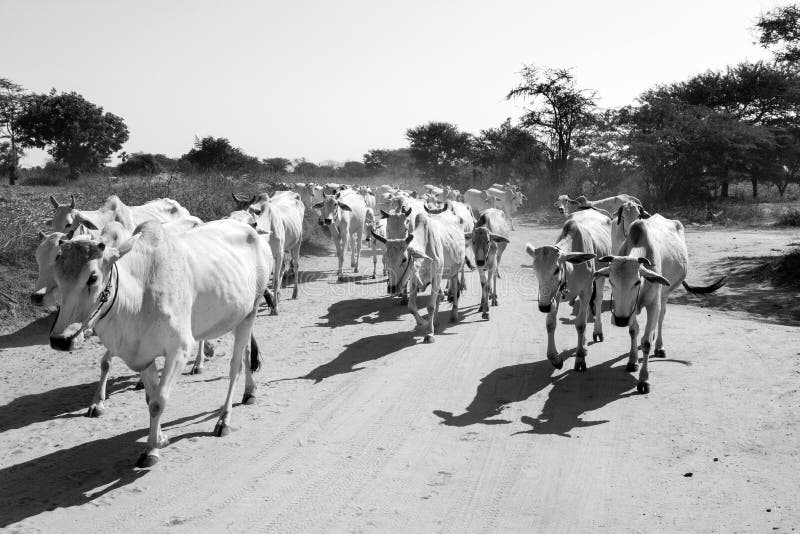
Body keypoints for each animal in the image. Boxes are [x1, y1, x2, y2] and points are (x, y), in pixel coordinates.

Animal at [49, 219, 271, 467]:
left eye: (93, 278)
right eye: (57, 279)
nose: (60, 340)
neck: (139, 293)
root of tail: (251, 229)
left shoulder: (179, 350)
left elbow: (159, 401)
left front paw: (153, 447)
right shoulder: (144, 357)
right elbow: (150, 398)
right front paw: (158, 441)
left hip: (252, 309)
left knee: (235, 367)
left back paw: (224, 420)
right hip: (237, 317)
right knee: (246, 353)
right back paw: (250, 392)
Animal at [370, 211, 466, 343]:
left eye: (404, 259)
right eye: (386, 259)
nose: (392, 288)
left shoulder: (437, 277)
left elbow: (430, 306)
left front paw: (429, 333)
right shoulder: (414, 280)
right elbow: (411, 307)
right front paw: (425, 323)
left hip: (456, 270)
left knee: (455, 290)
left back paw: (454, 315)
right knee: (439, 297)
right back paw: (435, 321)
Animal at [525, 208, 611, 371]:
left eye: (557, 270)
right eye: (534, 269)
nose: (543, 306)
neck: (572, 268)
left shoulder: (587, 289)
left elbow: (581, 324)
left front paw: (580, 358)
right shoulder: (555, 295)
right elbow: (550, 324)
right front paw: (555, 358)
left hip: (600, 278)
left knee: (597, 301)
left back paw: (597, 331)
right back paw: (583, 343)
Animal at [592, 214, 727, 394]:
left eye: (637, 282)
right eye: (611, 281)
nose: (620, 320)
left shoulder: (652, 305)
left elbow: (646, 342)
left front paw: (644, 380)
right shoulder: (631, 311)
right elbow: (633, 332)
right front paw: (632, 361)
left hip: (664, 296)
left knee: (661, 318)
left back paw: (659, 346)